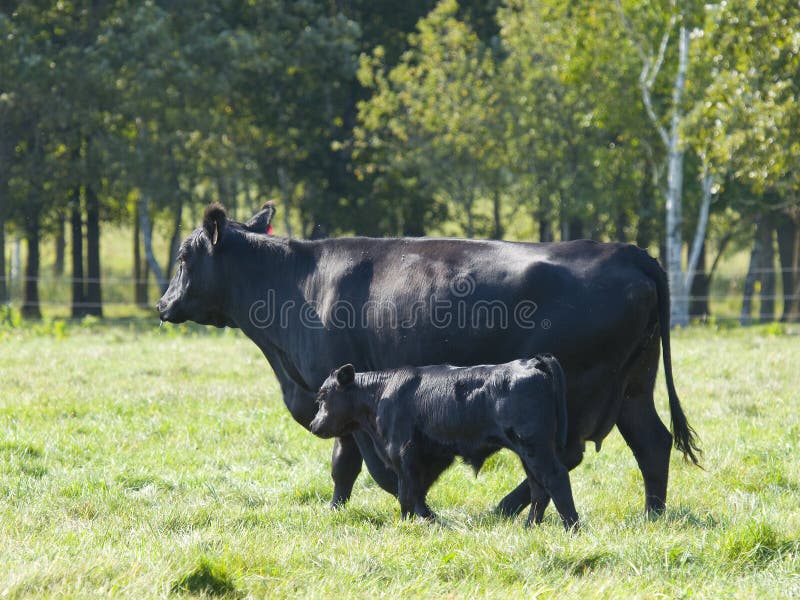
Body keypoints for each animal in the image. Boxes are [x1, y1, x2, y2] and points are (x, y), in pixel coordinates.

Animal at [309, 357, 580, 530]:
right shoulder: (429, 458)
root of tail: (532, 362)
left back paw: (572, 527)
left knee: (555, 478)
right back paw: (530, 527)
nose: (314, 425)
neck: (382, 393)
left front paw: (409, 525)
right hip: (528, 453)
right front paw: (429, 521)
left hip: (535, 446)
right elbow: (416, 494)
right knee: (539, 489)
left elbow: (406, 495)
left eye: (323, 397)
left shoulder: (403, 453)